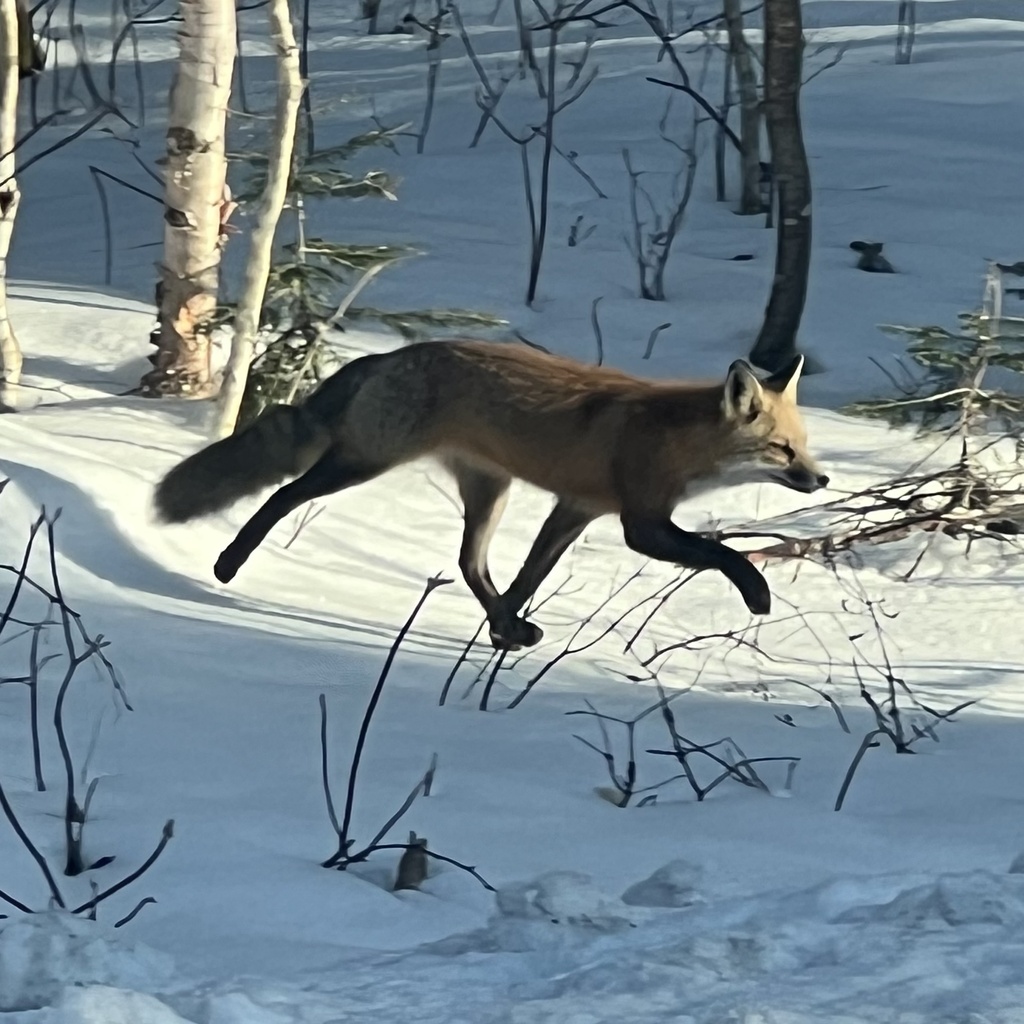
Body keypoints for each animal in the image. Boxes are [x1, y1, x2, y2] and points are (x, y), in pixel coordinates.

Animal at [153, 340, 828, 650]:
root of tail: (389, 354)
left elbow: (527, 579)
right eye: (781, 451)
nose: (822, 480)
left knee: (469, 563)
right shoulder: (642, 523)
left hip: (489, 491)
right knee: (283, 496)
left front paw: (505, 630)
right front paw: (758, 594)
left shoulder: (576, 508)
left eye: (804, 446)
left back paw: (507, 626)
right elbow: (723, 553)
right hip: (364, 462)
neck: (672, 439)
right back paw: (229, 562)